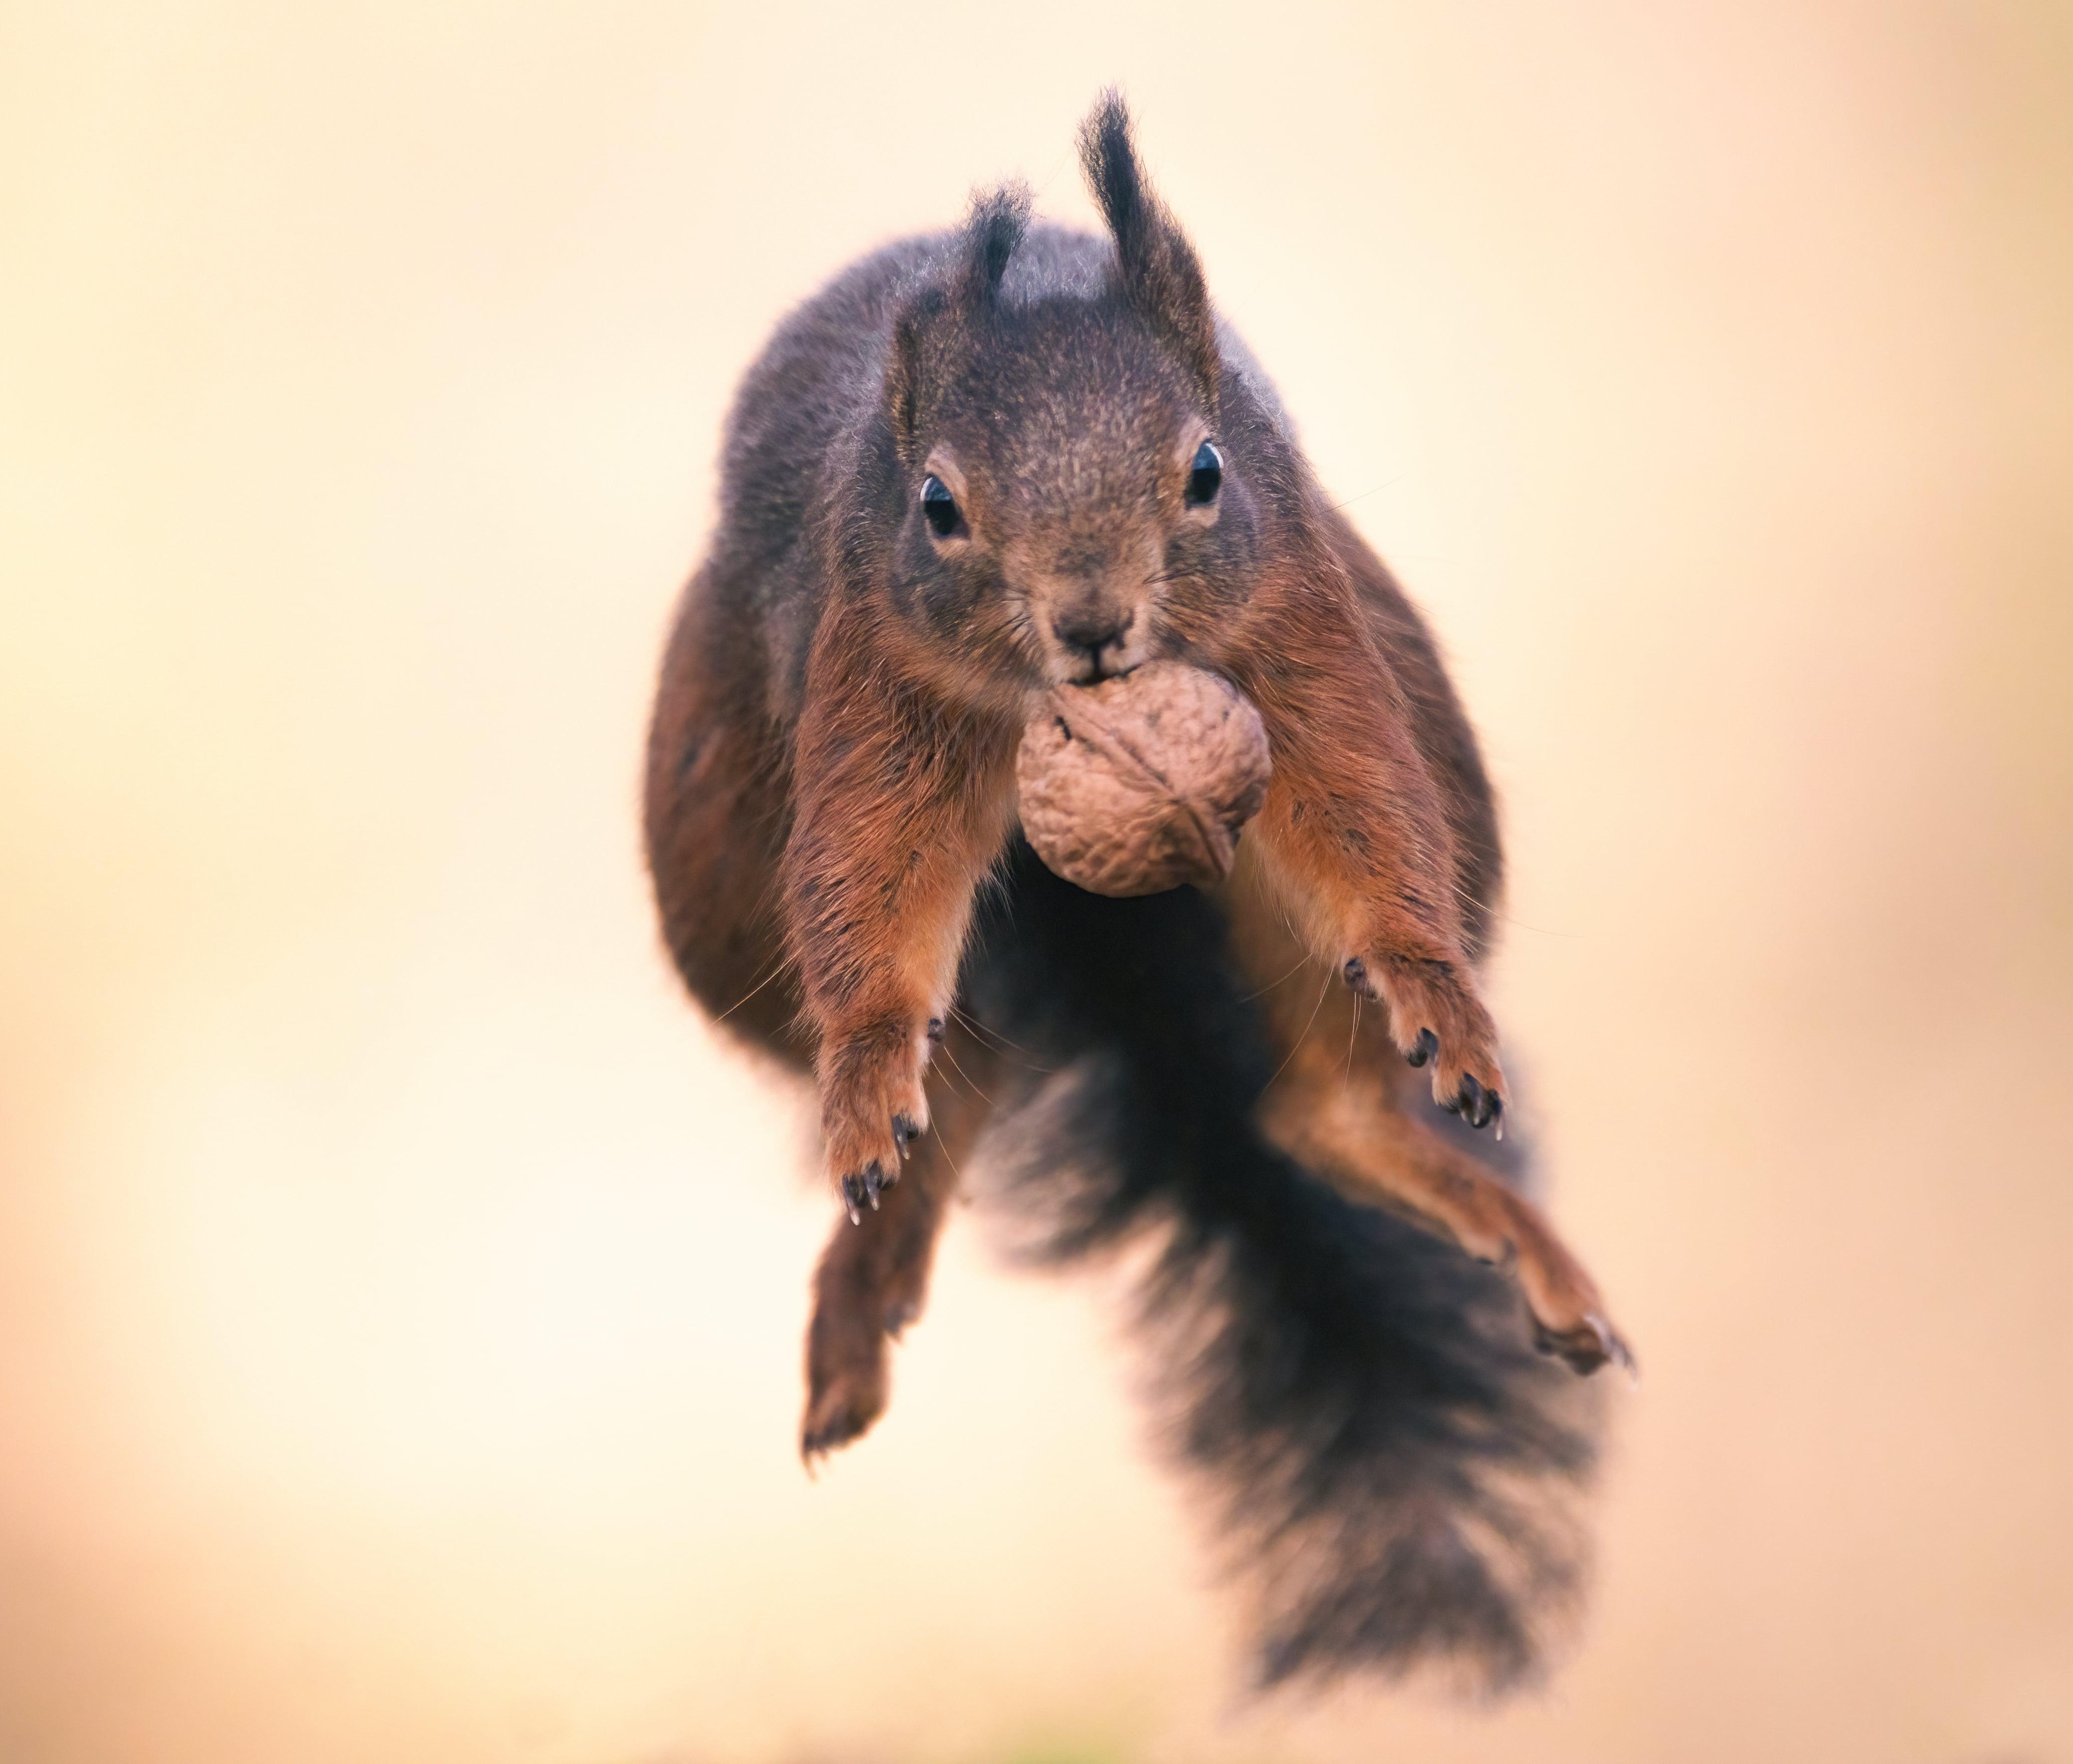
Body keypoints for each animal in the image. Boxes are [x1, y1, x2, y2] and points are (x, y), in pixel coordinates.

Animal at [644, 93, 1629, 1693]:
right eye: (936, 506)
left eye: (1207, 473)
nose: (1095, 625)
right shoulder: (874, 666)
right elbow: (871, 883)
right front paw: (868, 1067)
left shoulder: (1296, 618)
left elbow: (1360, 803)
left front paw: (1425, 973)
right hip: (716, 848)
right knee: (957, 1069)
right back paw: (889, 1205)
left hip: (1417, 729)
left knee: (1312, 1100)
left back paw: (1407, 1146)